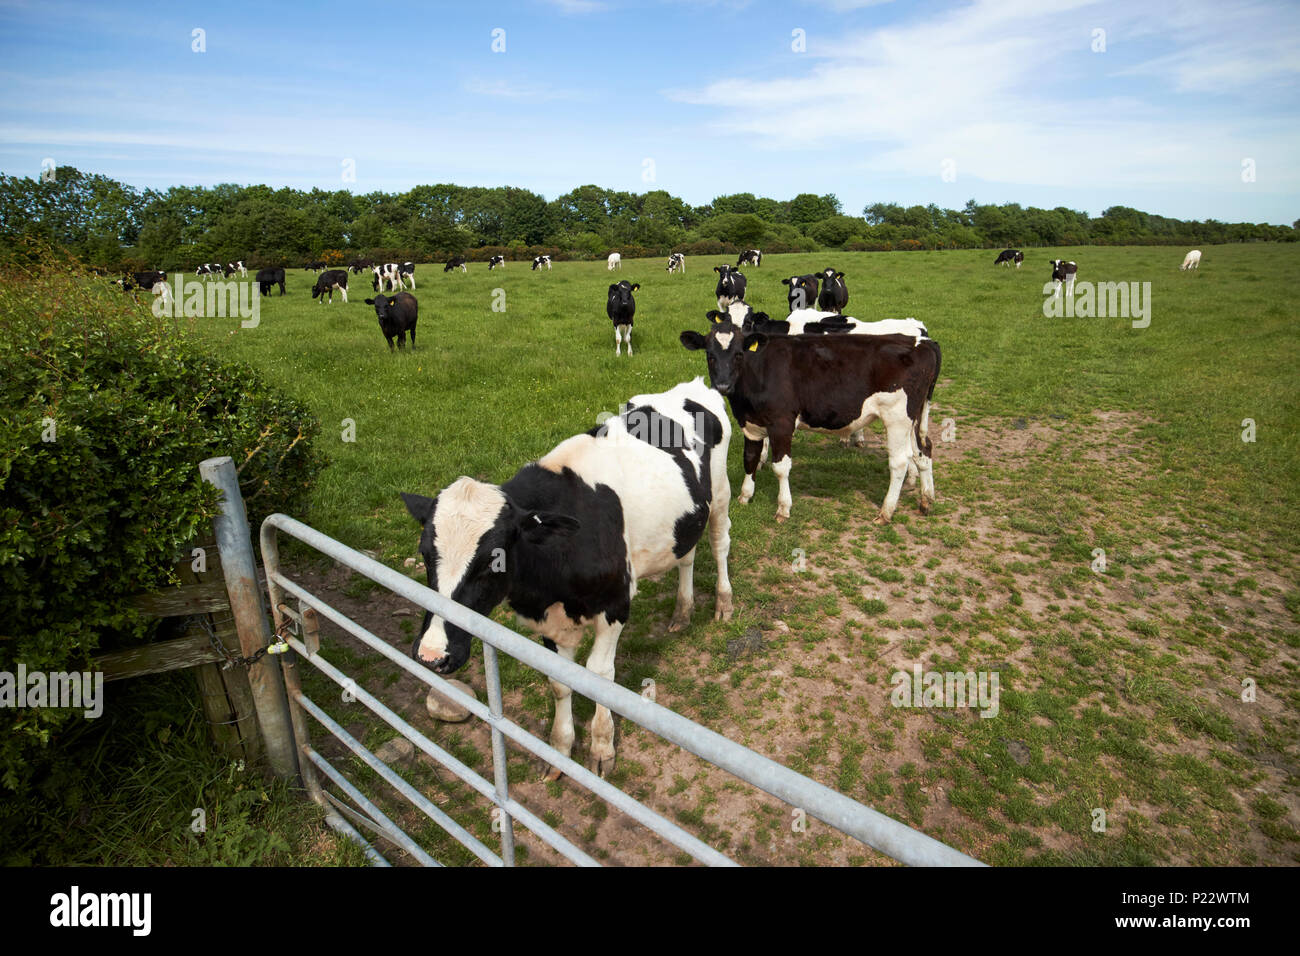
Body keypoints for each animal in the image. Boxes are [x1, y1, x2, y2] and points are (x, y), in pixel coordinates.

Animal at [400, 376, 733, 778]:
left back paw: (724, 603)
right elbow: (560, 683)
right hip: (685, 520)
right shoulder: (549, 620)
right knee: (687, 556)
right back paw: (682, 612)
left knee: (719, 543)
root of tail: (693, 385)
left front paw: (602, 750)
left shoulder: (615, 604)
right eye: (424, 554)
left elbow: (599, 676)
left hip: (720, 496)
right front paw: (559, 752)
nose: (432, 655)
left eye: (492, 561)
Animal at [680, 314, 940, 524]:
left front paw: (783, 509)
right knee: (923, 450)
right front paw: (745, 496)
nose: (722, 385)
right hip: (915, 416)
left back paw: (886, 512)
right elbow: (750, 458)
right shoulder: (750, 423)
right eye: (710, 355)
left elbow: (781, 467)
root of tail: (922, 342)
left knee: (900, 462)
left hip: (897, 417)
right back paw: (926, 500)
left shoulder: (781, 423)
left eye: (738, 354)